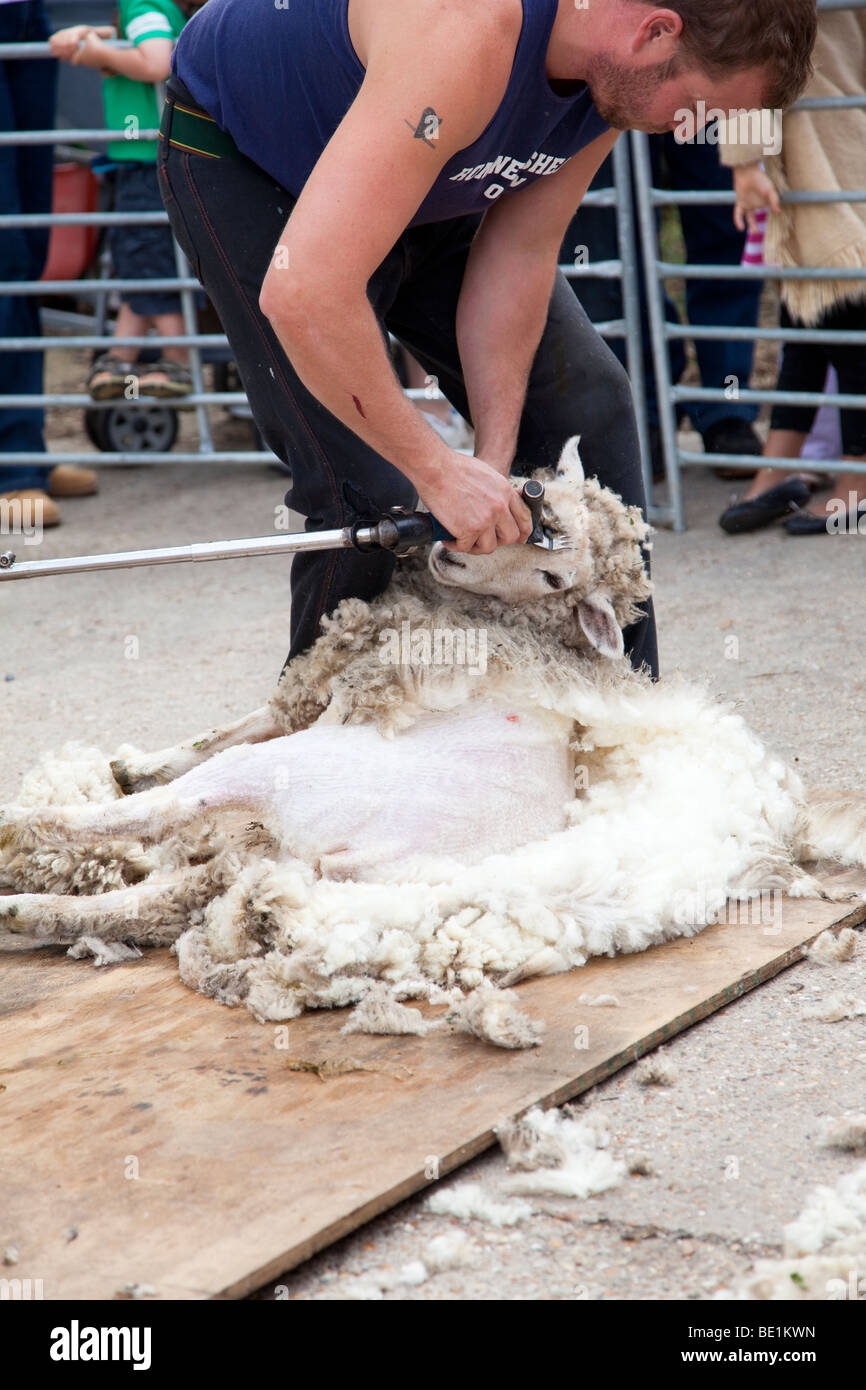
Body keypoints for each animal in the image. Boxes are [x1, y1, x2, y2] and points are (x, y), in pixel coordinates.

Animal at [2, 437, 865, 1034]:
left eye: (555, 577)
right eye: (537, 495)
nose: (451, 546)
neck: (504, 623)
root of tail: (375, 859)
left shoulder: (340, 681)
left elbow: (242, 723)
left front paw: (135, 766)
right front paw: (135, 761)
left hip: (288, 782)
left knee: (147, 822)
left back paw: (23, 841)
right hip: (268, 858)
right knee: (154, 901)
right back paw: (28, 912)